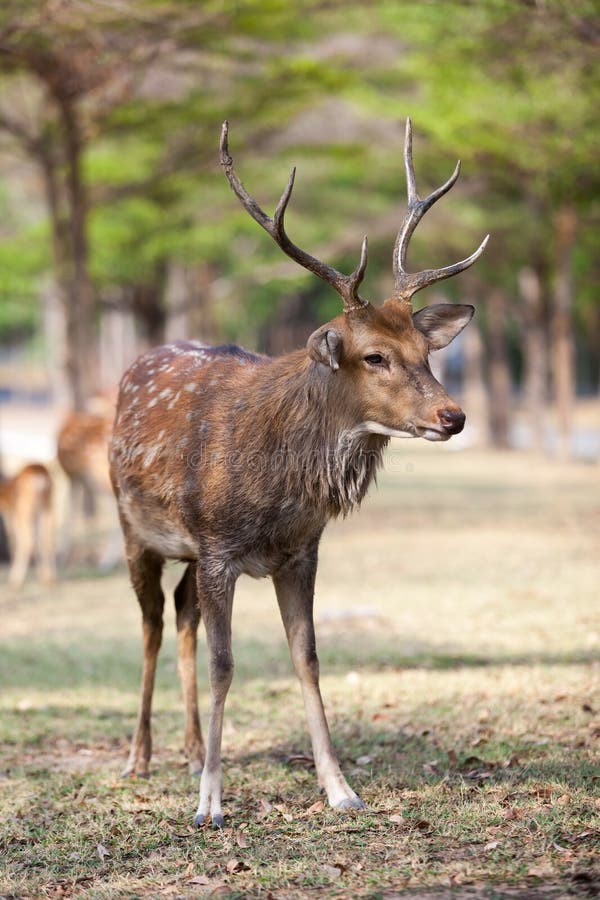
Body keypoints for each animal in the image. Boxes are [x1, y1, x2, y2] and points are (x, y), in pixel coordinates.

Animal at [109, 119, 488, 827]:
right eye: (374, 356)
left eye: (425, 351)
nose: (453, 416)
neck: (278, 495)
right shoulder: (220, 549)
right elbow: (226, 664)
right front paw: (210, 804)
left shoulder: (301, 551)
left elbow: (307, 658)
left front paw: (340, 789)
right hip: (132, 528)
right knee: (149, 626)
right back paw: (139, 758)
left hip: (186, 554)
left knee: (181, 616)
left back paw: (190, 748)